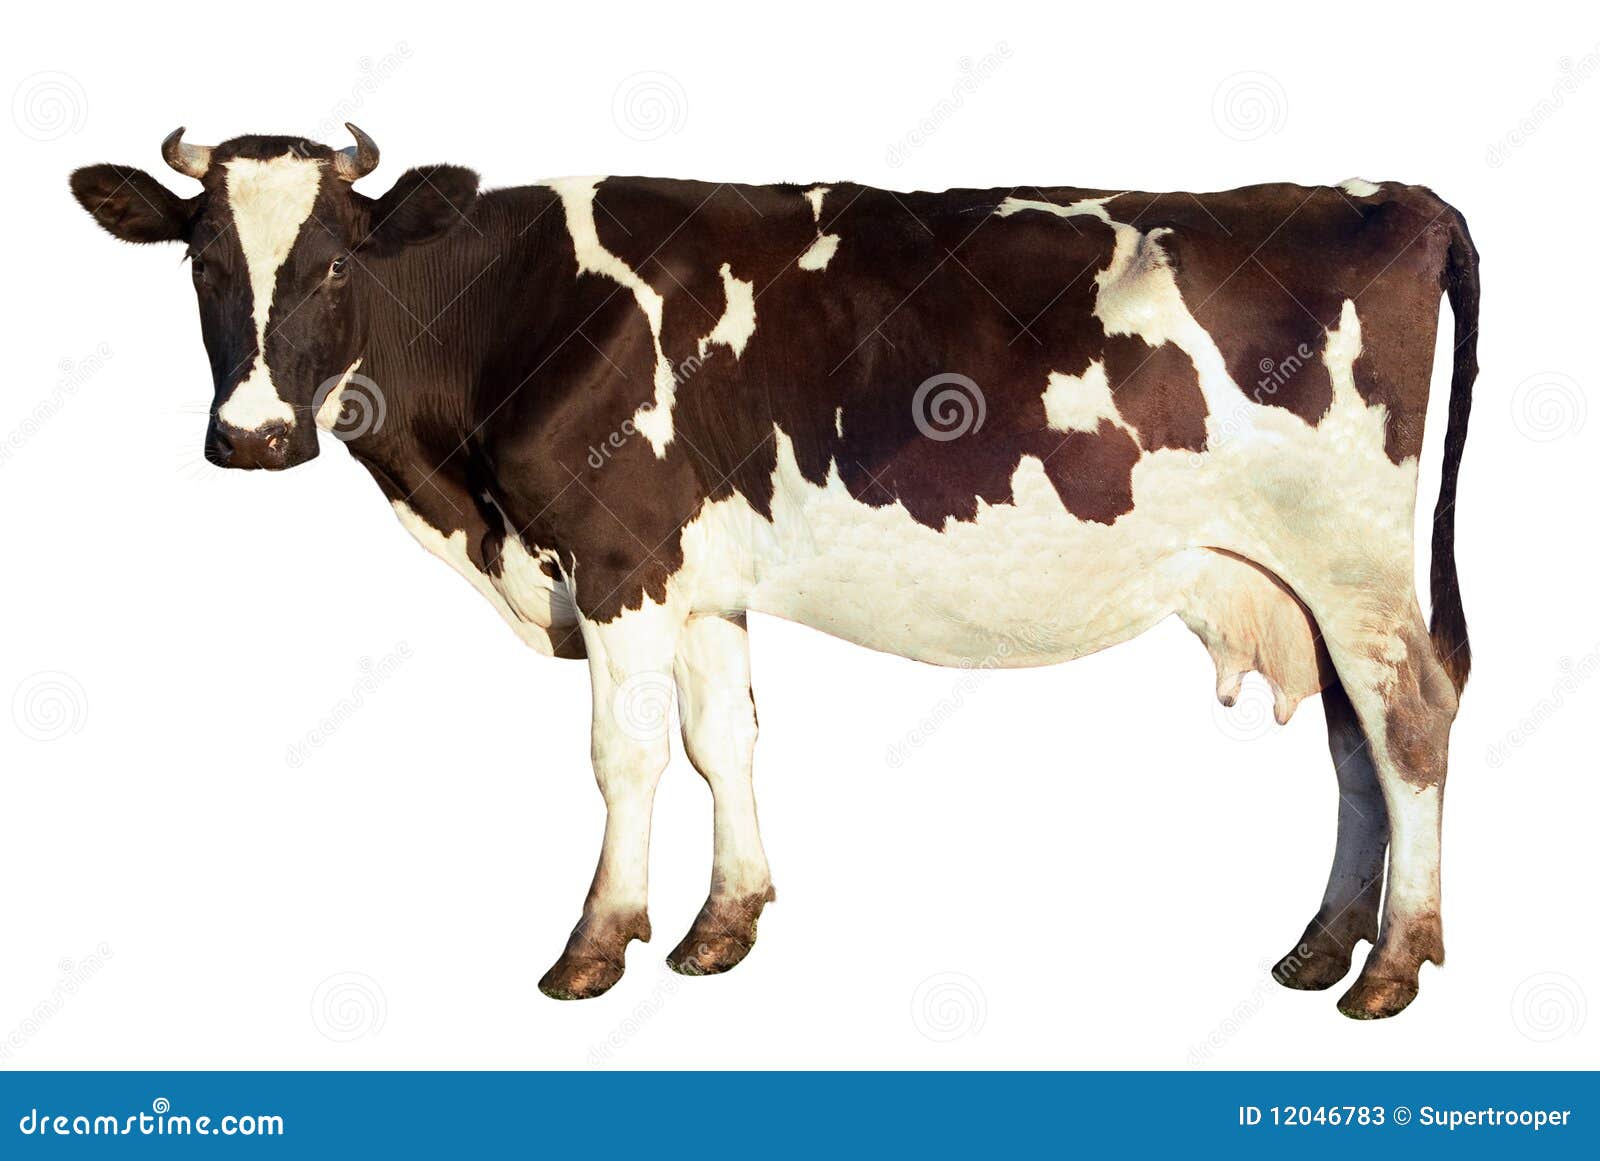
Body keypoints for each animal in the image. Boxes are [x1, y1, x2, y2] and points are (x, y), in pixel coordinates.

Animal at [70, 125, 1478, 1019]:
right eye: (202, 262)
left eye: (334, 263)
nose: (253, 435)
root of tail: (1384, 193)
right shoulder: (696, 576)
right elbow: (723, 740)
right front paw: (723, 923)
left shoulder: (620, 554)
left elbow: (626, 755)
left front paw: (595, 945)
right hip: (1304, 577)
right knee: (1354, 742)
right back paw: (1324, 945)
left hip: (1351, 565)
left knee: (1407, 721)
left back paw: (1394, 964)